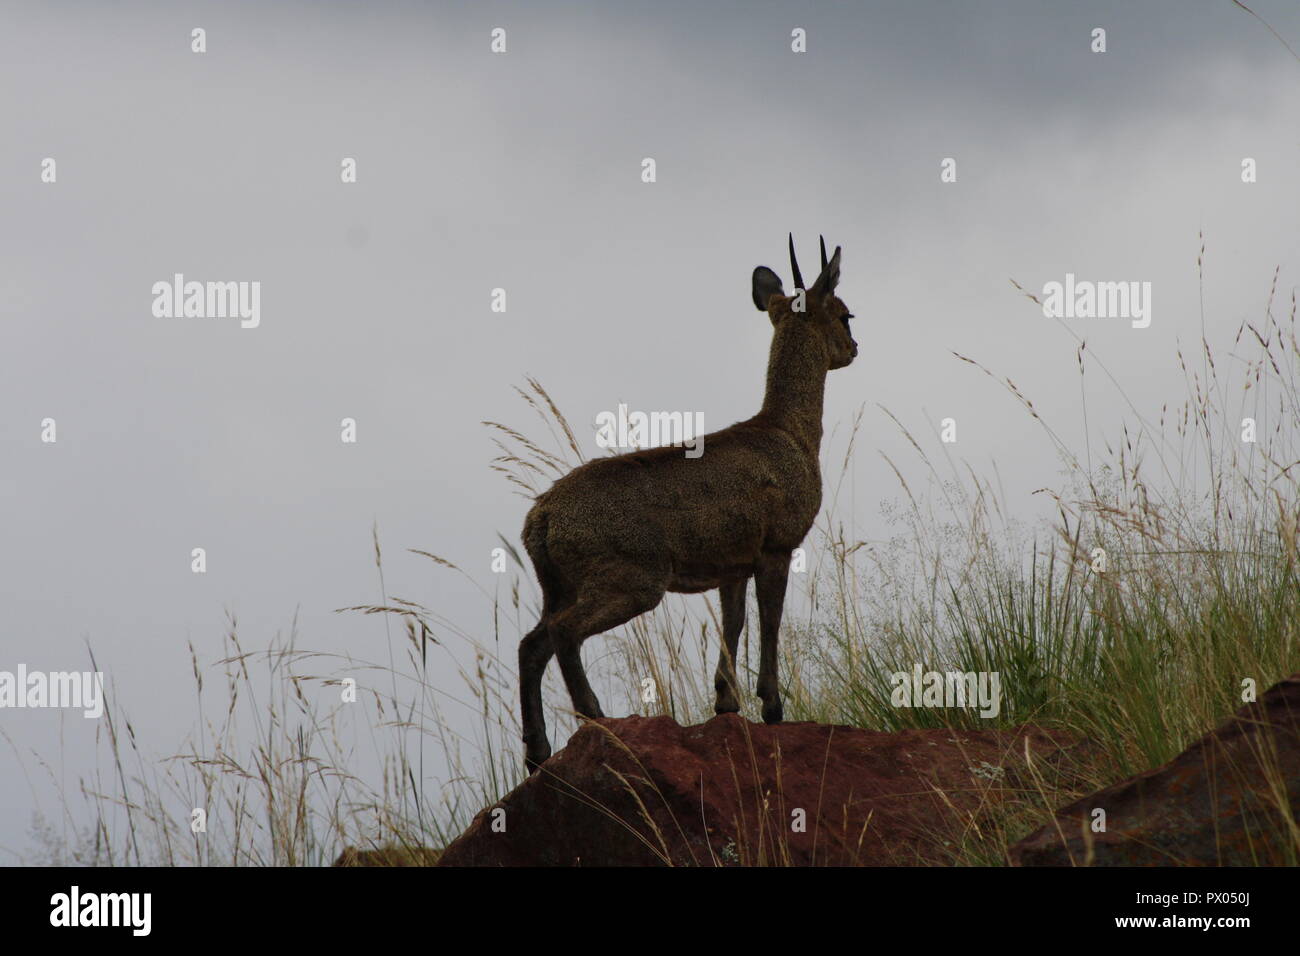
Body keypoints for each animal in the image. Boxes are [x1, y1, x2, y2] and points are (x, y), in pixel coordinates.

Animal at [518, 235, 858, 771]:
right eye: (846, 315)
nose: (854, 349)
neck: (792, 435)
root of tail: (540, 517)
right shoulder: (778, 543)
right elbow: (770, 620)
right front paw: (772, 706)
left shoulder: (733, 561)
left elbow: (734, 623)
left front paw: (726, 701)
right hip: (633, 575)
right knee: (563, 632)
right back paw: (597, 719)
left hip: (558, 583)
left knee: (532, 642)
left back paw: (537, 752)